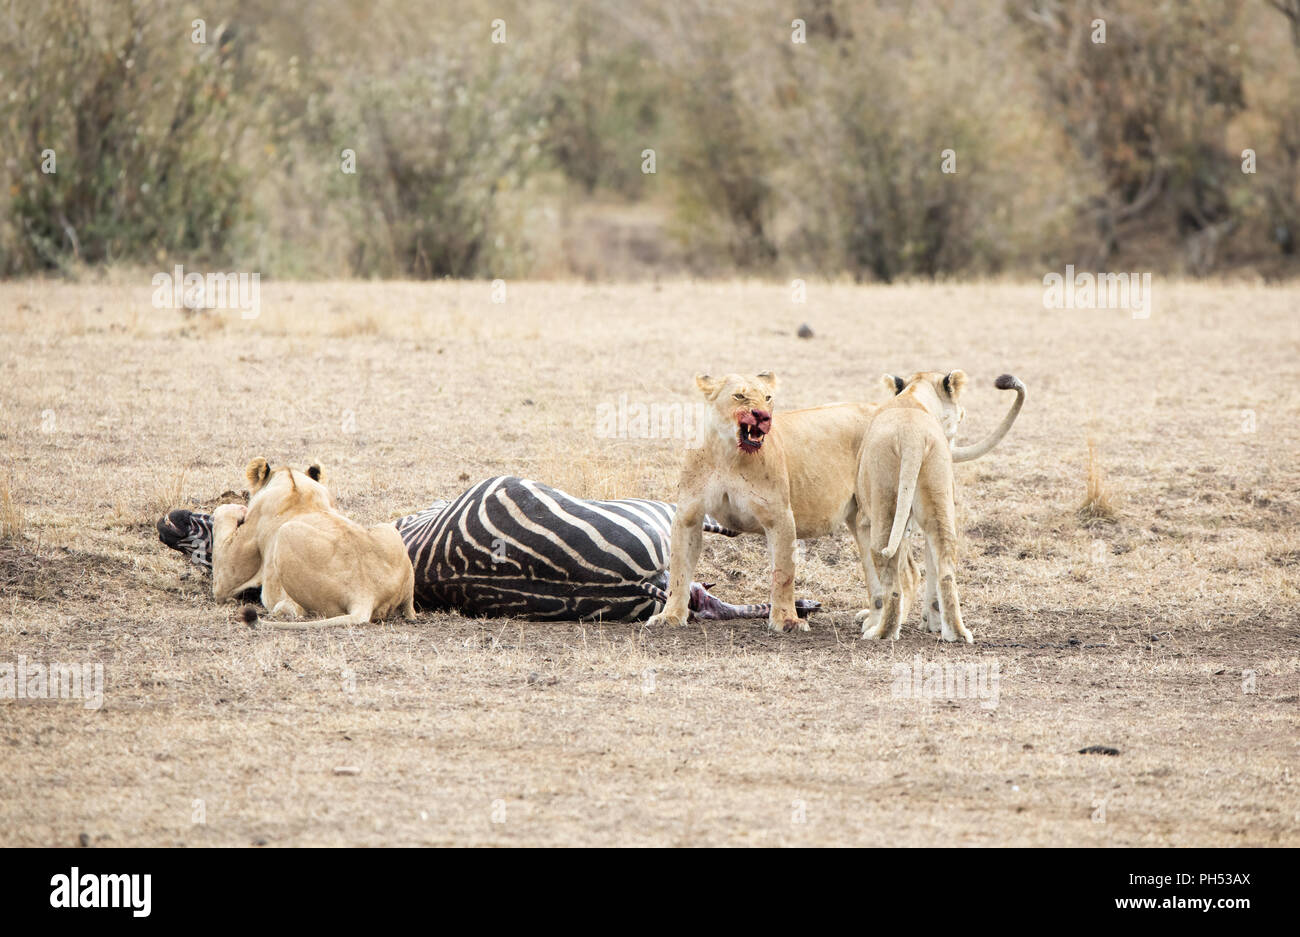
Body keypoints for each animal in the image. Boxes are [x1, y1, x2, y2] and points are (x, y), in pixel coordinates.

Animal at [212, 458, 415, 630]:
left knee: (298, 610)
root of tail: (365, 593)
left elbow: (221, 515)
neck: (294, 485)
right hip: (388, 530)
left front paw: (235, 508)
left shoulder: (226, 579)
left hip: (286, 533)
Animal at [858, 372, 1025, 643]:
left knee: (890, 573)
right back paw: (955, 632)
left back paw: (882, 632)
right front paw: (932, 621)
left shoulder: (865, 516)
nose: (964, 413)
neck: (915, 394)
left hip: (884, 506)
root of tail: (913, 436)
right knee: (946, 566)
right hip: (938, 499)